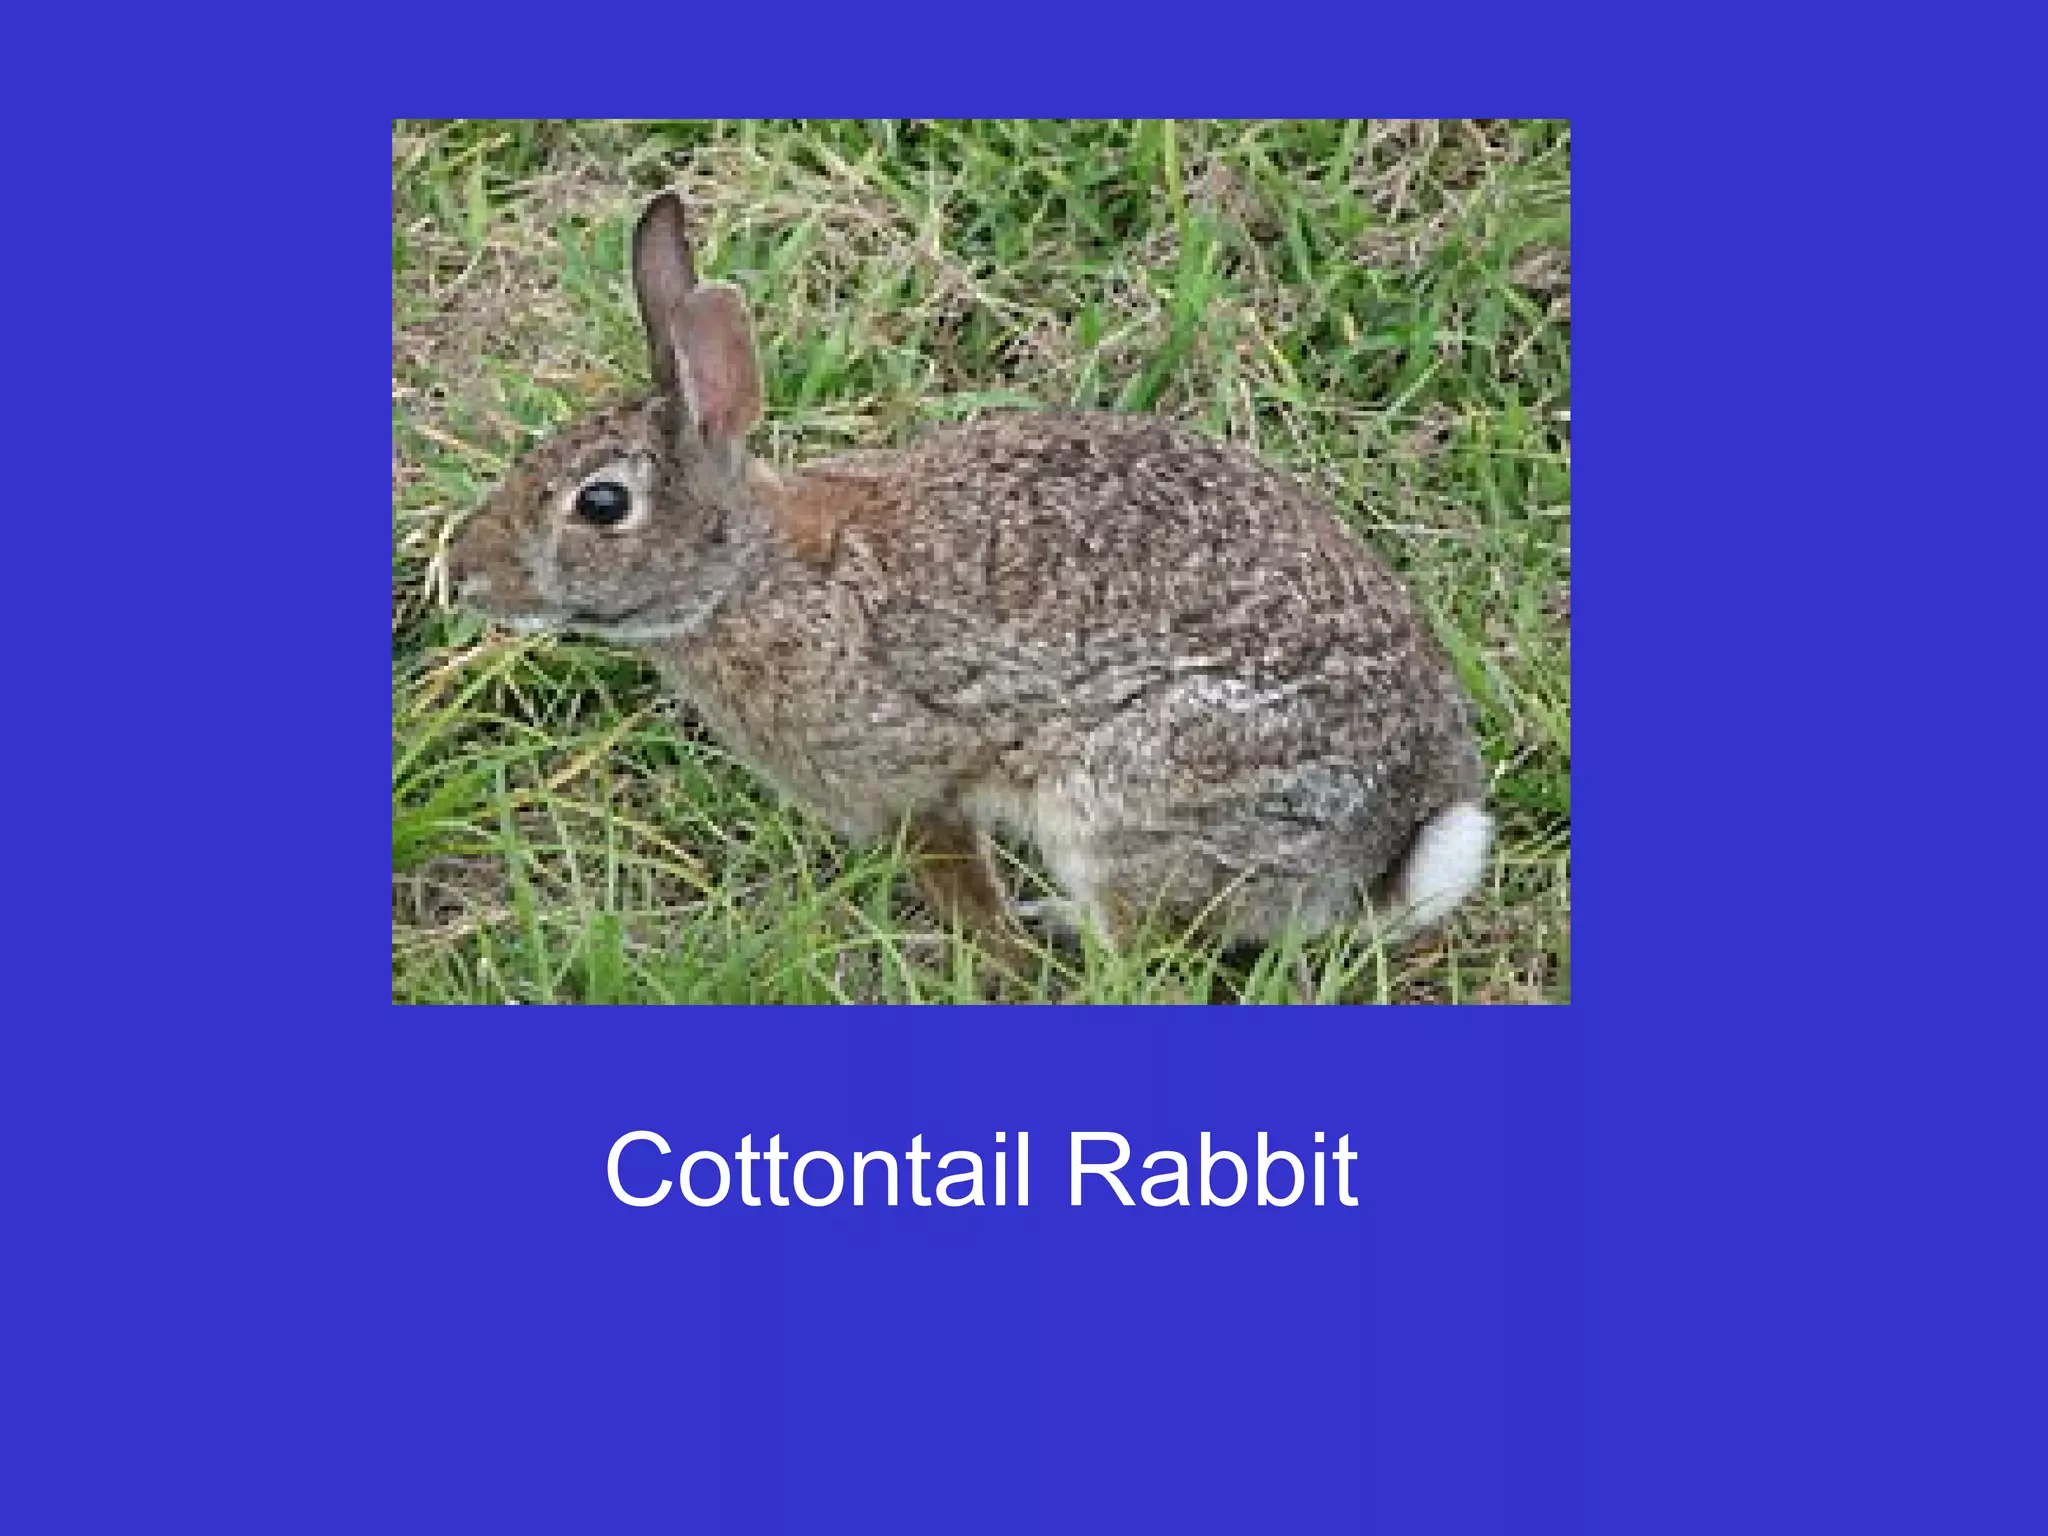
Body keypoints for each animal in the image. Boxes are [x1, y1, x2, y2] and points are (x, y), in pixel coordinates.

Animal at [446, 191, 1493, 968]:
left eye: (601, 504)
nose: (462, 572)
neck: (751, 575)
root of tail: (1393, 844)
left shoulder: (914, 781)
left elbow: (957, 877)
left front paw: (989, 950)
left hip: (1132, 796)